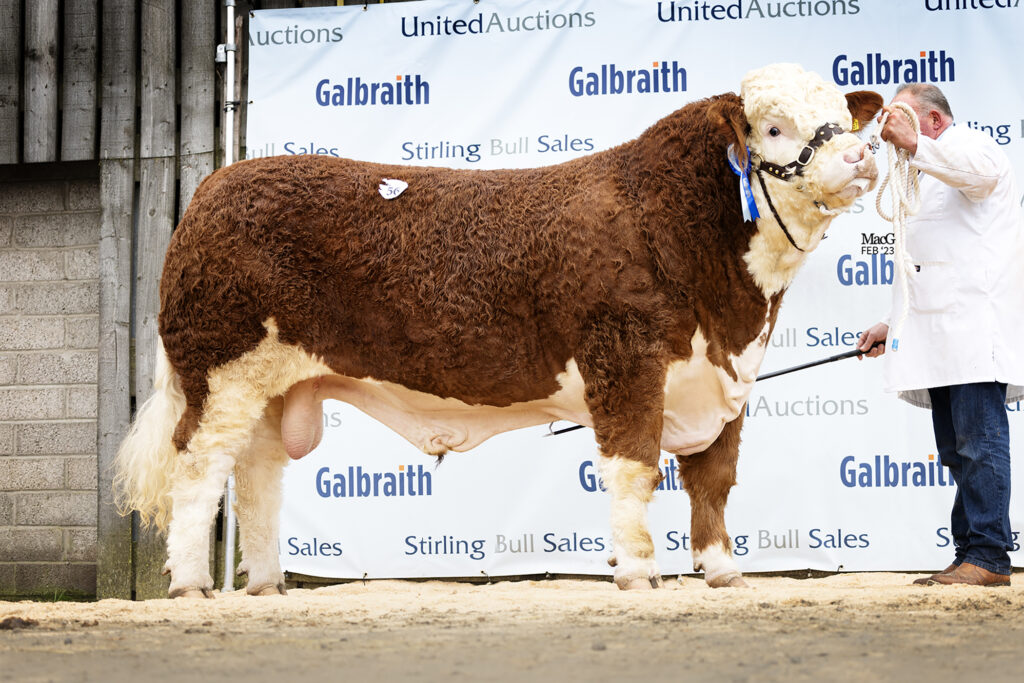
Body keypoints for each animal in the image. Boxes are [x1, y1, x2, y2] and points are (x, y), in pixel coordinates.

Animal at [115, 63, 882, 598]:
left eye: (844, 118)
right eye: (774, 127)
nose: (861, 157)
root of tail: (214, 187)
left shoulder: (726, 379)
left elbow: (714, 478)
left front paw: (723, 571)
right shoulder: (624, 359)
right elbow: (634, 468)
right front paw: (638, 571)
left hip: (274, 385)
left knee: (258, 477)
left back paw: (268, 584)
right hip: (220, 372)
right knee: (198, 470)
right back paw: (192, 584)